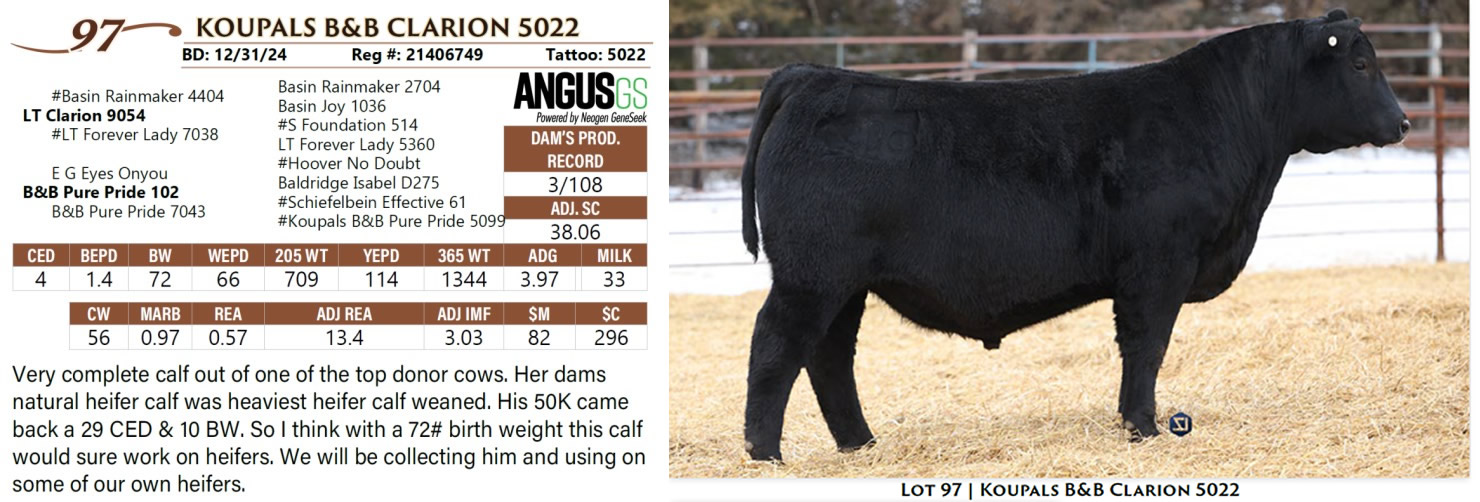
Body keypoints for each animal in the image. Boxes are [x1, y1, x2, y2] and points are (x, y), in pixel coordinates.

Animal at [739, 9, 1408, 461]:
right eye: (1359, 63)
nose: (1402, 122)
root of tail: (814, 76)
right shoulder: (1159, 264)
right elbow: (1147, 346)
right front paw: (1143, 426)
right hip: (811, 274)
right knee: (777, 348)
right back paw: (765, 454)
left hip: (844, 283)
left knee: (829, 356)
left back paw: (861, 444)